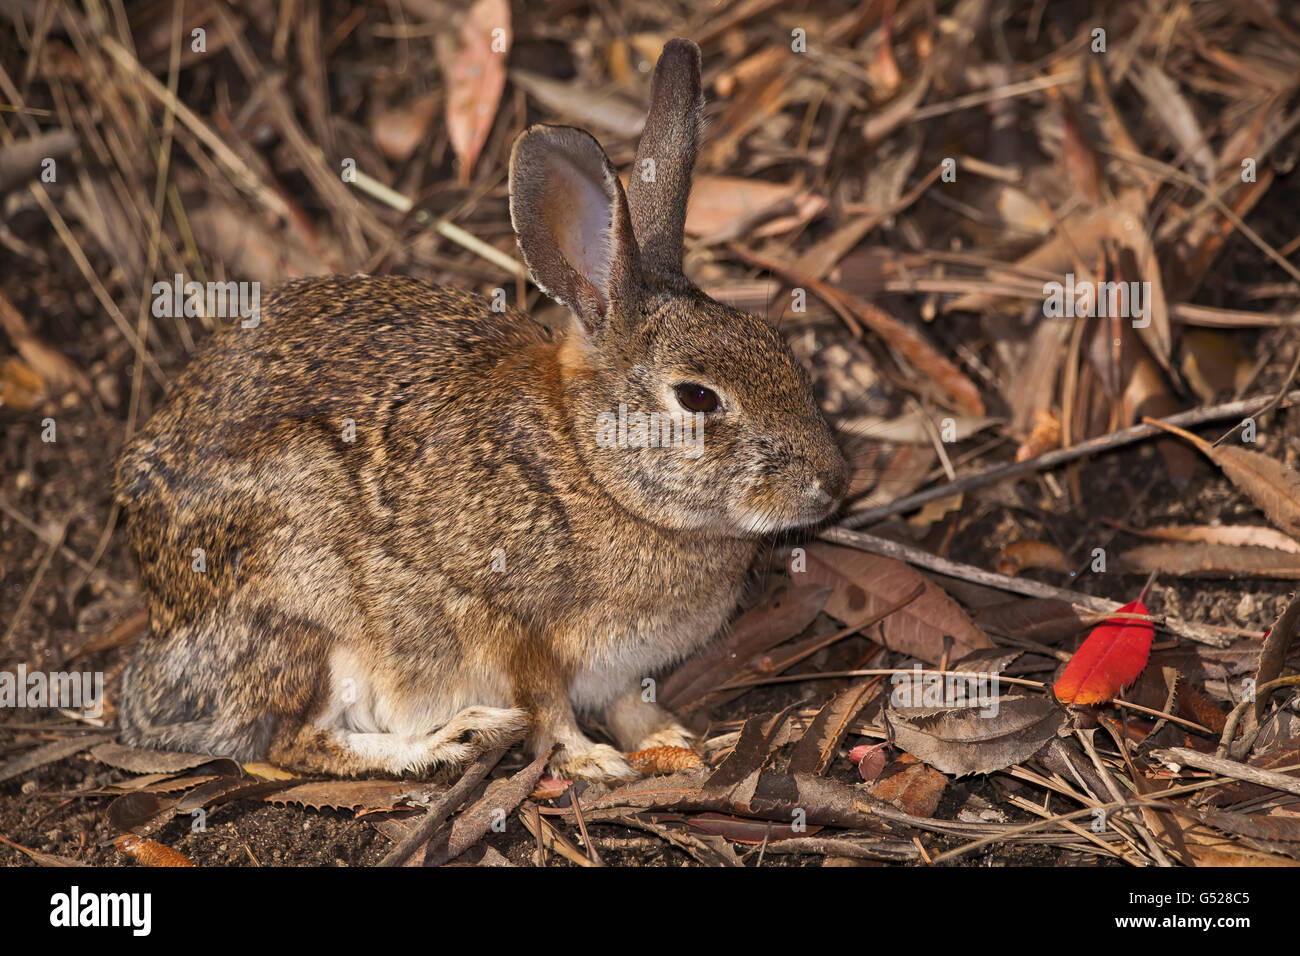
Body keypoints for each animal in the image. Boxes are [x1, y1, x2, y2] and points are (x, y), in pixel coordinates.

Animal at [114, 38, 849, 782]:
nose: (832, 484)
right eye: (697, 397)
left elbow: (627, 702)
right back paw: (451, 738)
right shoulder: (511, 627)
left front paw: (670, 741)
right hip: (310, 616)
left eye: (777, 345)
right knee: (296, 742)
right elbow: (548, 705)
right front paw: (593, 762)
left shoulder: (618, 666)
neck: (591, 466)